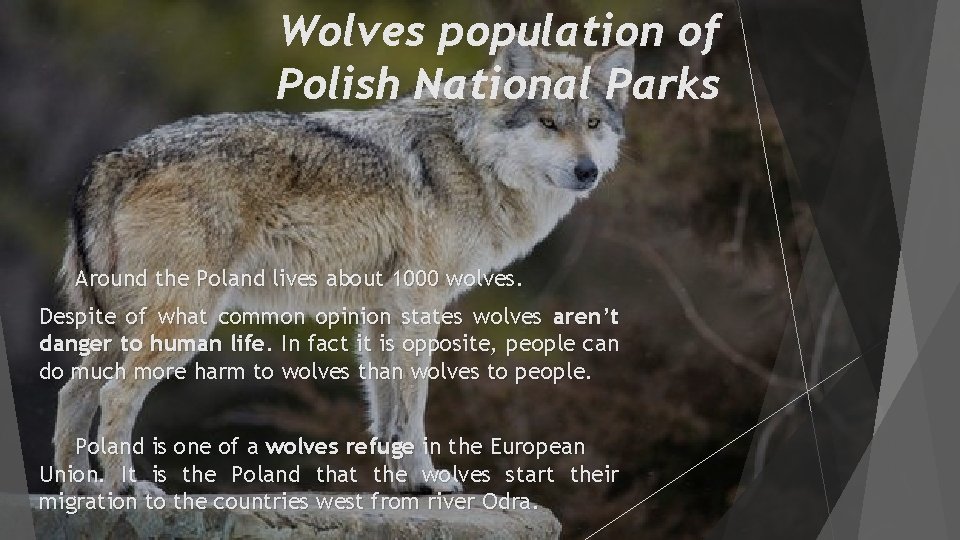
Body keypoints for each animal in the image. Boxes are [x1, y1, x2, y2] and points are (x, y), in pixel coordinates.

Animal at [54, 43, 634, 496]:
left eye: (593, 124)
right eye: (548, 123)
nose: (587, 170)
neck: (472, 159)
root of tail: (112, 160)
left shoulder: (380, 313)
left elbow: (388, 414)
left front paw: (406, 485)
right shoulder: (419, 308)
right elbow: (415, 409)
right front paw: (428, 478)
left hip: (116, 332)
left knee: (71, 393)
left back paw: (83, 489)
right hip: (182, 327)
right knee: (113, 395)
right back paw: (124, 487)